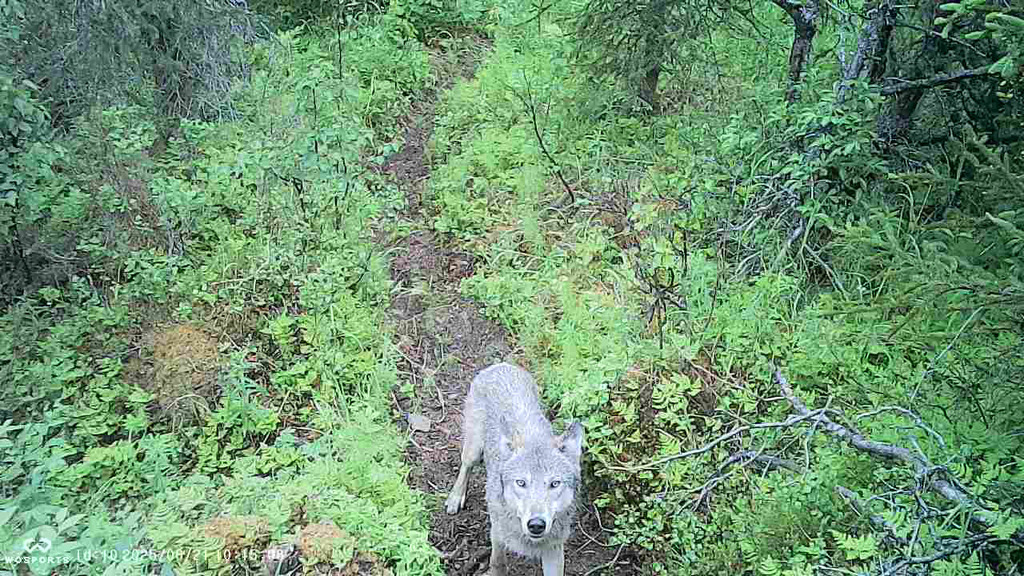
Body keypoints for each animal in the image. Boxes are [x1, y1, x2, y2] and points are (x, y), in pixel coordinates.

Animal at [445, 363, 585, 576]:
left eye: (554, 484)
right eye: (521, 483)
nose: (536, 524)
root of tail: (501, 364)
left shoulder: (554, 550)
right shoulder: (497, 533)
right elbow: (497, 563)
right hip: (474, 450)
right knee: (465, 466)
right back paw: (455, 498)